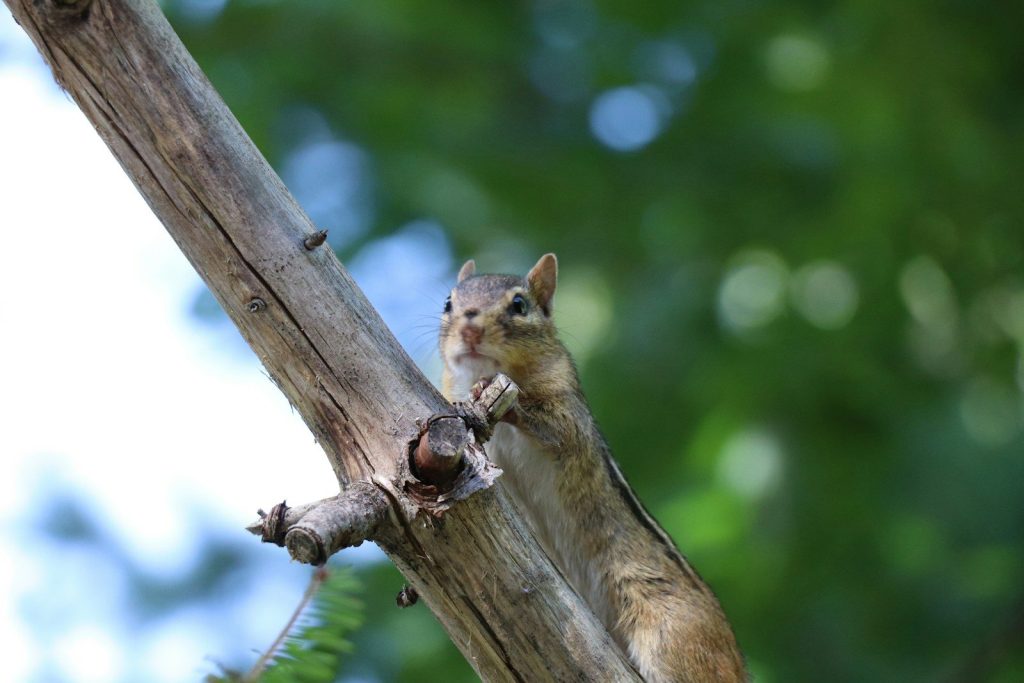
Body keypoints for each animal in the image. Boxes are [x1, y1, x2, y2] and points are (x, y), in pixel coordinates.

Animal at [439, 253, 746, 683]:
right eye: (448, 302)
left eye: (519, 305)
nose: (469, 328)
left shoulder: (569, 412)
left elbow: (556, 429)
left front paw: (504, 401)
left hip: (674, 637)